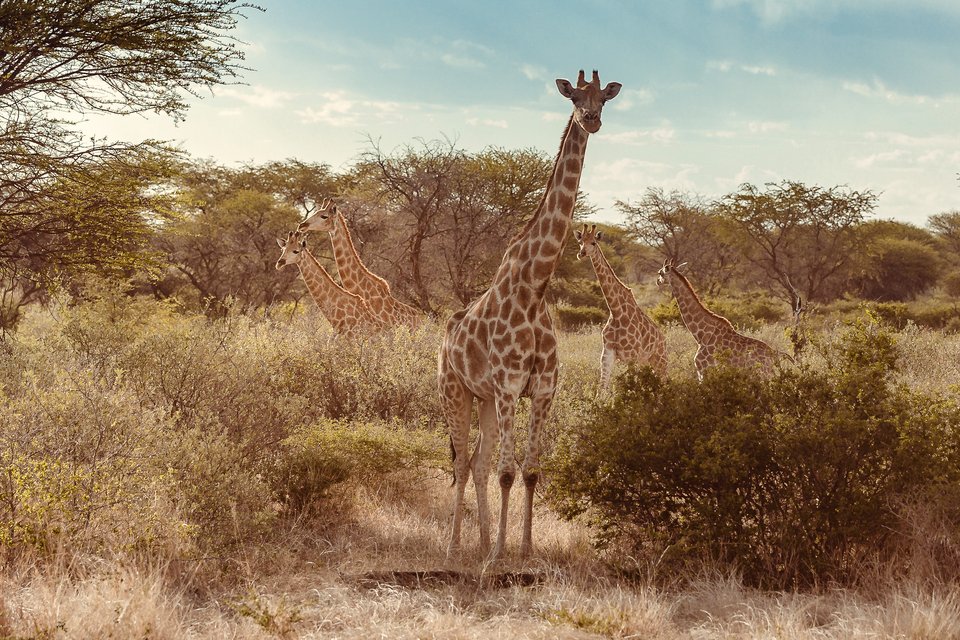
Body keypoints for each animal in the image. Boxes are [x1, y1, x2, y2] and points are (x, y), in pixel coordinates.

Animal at [439, 70, 621, 561]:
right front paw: (500, 556)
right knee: (462, 464)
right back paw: (456, 548)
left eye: (604, 98)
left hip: (482, 398)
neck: (535, 285)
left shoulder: (541, 390)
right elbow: (507, 471)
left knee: (477, 462)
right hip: (454, 391)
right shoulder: (508, 386)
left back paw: (482, 540)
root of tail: (444, 338)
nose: (591, 119)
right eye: (575, 96)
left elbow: (530, 471)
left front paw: (522, 549)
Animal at [574, 224, 667, 391]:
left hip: (660, 360)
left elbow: (632, 388)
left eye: (593, 243)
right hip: (647, 362)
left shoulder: (632, 356)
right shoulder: (607, 353)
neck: (616, 311)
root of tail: (664, 339)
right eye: (580, 242)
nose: (581, 253)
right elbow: (602, 388)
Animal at [656, 259, 787, 379]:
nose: (657, 281)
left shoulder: (703, 370)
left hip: (763, 375)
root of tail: (774, 354)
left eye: (660, 273)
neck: (701, 336)